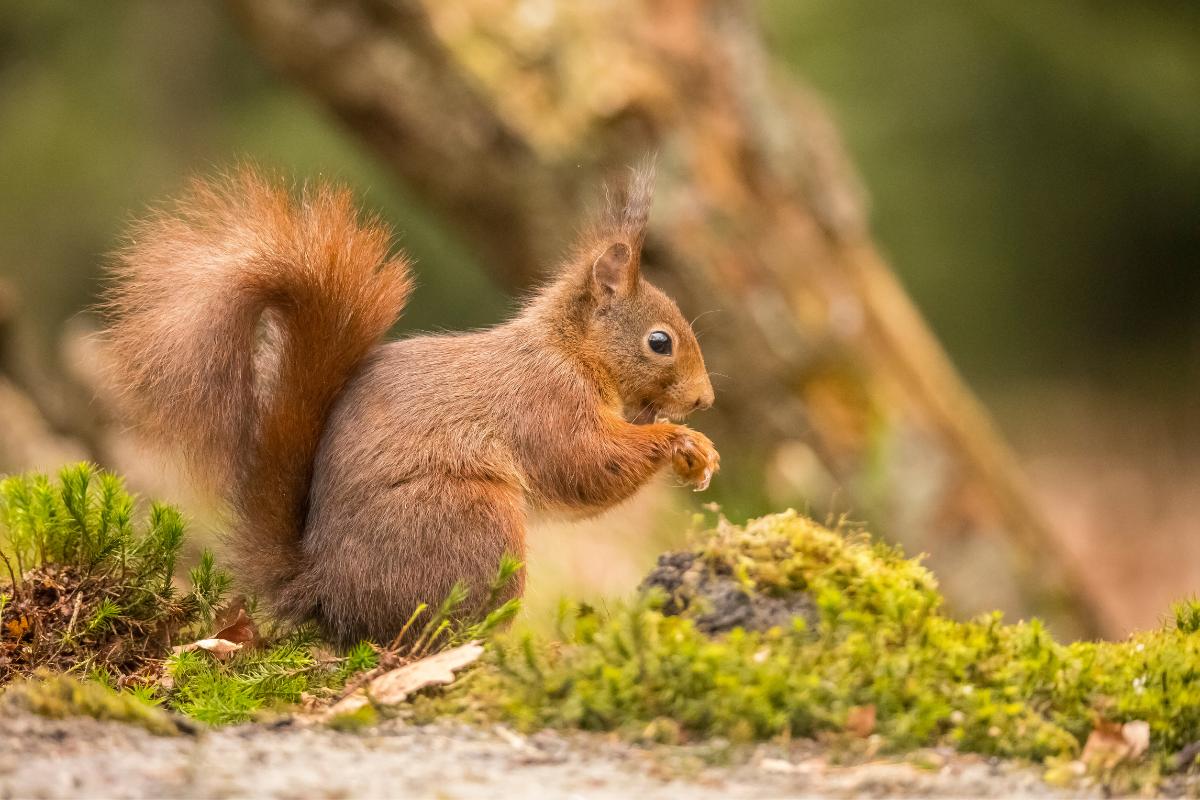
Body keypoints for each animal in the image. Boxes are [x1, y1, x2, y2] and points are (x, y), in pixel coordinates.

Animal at [102, 163, 718, 645]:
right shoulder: (545, 403)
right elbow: (586, 466)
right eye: (659, 341)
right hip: (471, 523)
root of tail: (324, 589)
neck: (570, 350)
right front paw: (682, 442)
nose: (704, 399)